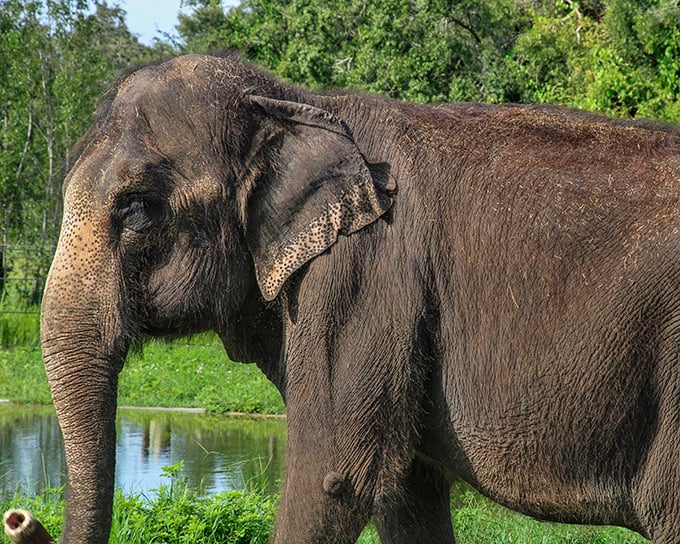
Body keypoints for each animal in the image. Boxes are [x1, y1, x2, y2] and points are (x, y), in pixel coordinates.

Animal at [34, 52, 680, 543]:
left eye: (137, 208)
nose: (20, 520)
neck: (292, 103)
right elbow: (406, 490)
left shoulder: (362, 277)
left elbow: (333, 476)